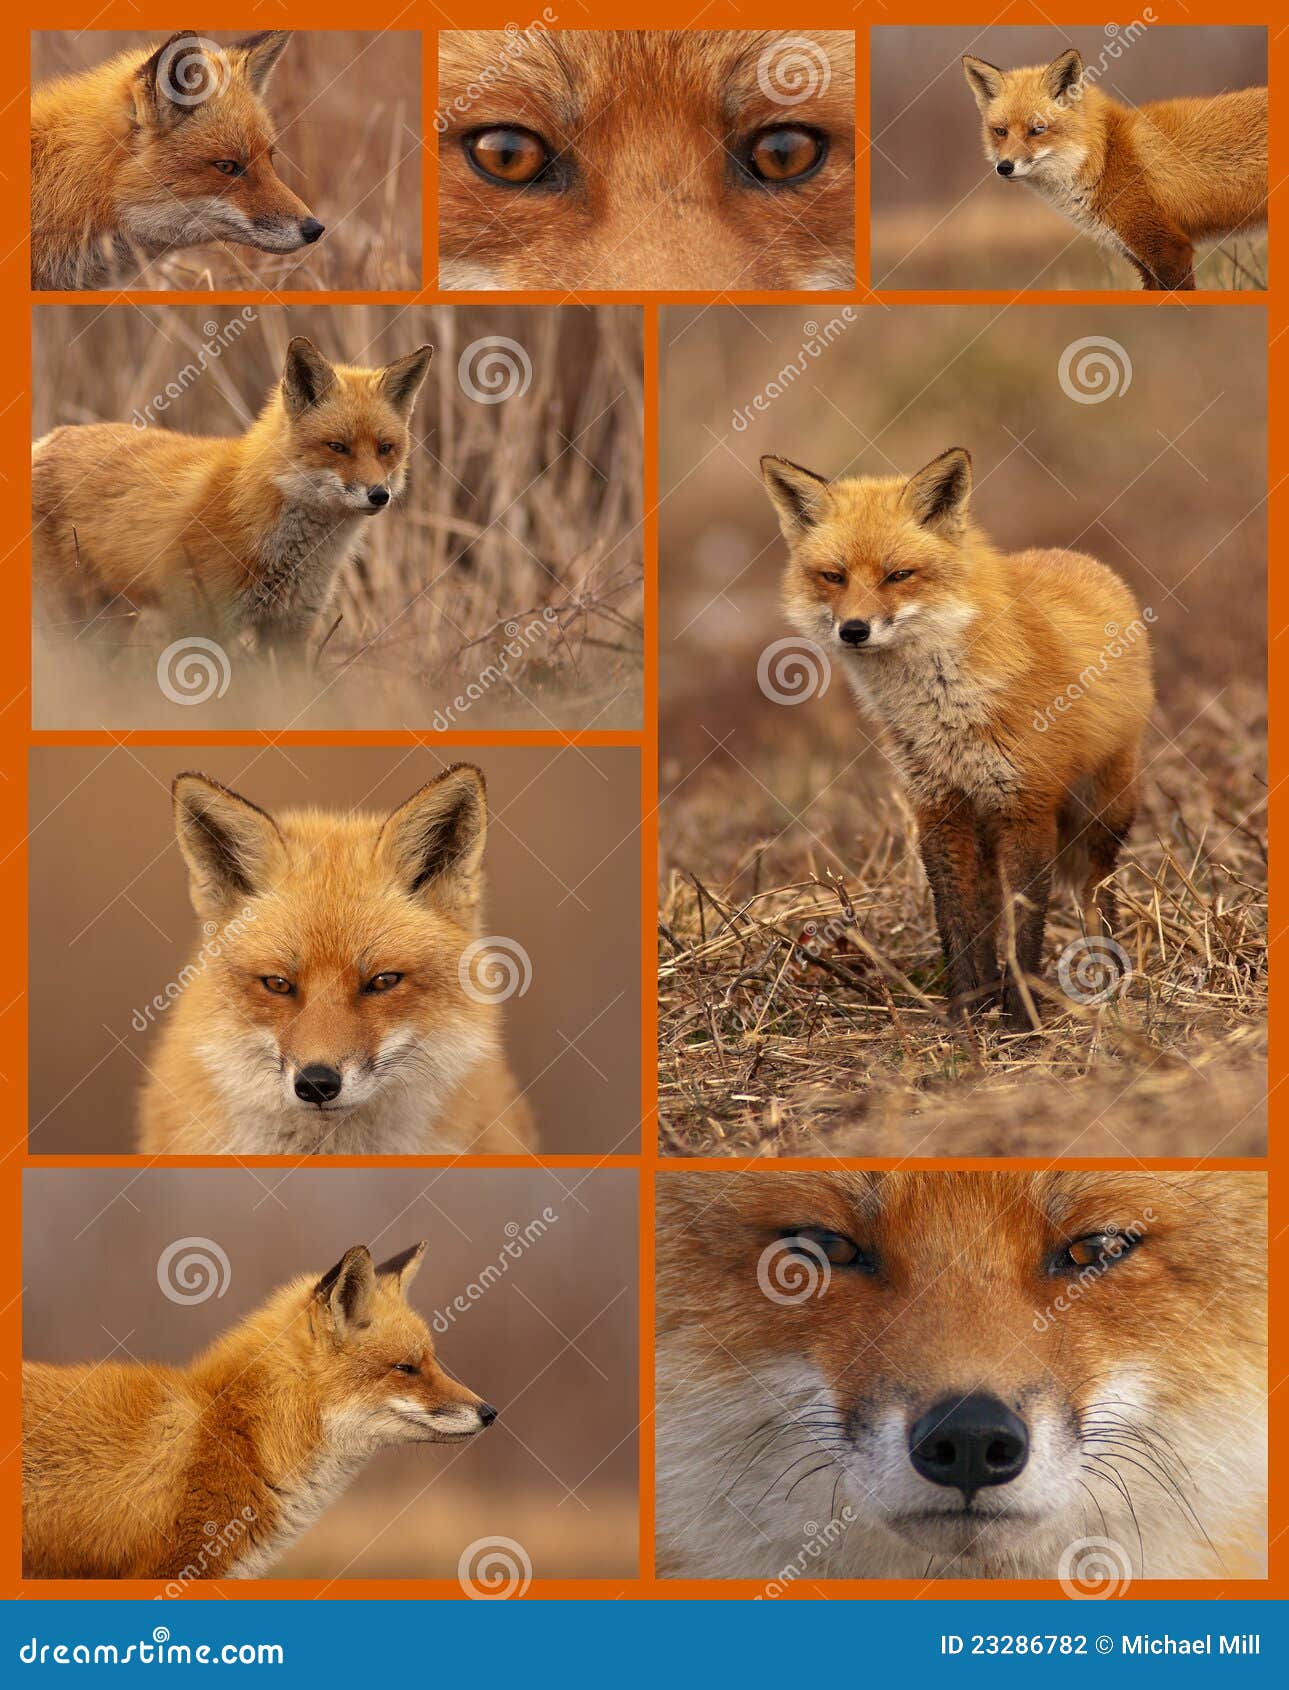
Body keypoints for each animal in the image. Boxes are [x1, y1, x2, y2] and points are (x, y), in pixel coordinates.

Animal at [31, 335, 431, 662]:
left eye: (385, 449)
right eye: (338, 447)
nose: (379, 495)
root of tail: (48, 439)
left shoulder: (291, 628)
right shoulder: (200, 624)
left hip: (109, 621)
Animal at [762, 447, 1154, 1029]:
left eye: (898, 575)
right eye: (833, 576)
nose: (853, 630)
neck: (942, 713)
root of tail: (1083, 559)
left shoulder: (1026, 806)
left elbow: (1025, 927)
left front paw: (1021, 1020)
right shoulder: (938, 806)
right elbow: (957, 921)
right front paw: (965, 1010)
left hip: (1104, 809)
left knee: (1095, 890)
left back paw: (1107, 972)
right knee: (990, 905)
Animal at [962, 49, 1267, 291]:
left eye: (1037, 129)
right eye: (1000, 132)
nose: (1004, 167)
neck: (1104, 155)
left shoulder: (1168, 248)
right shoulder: (1141, 258)